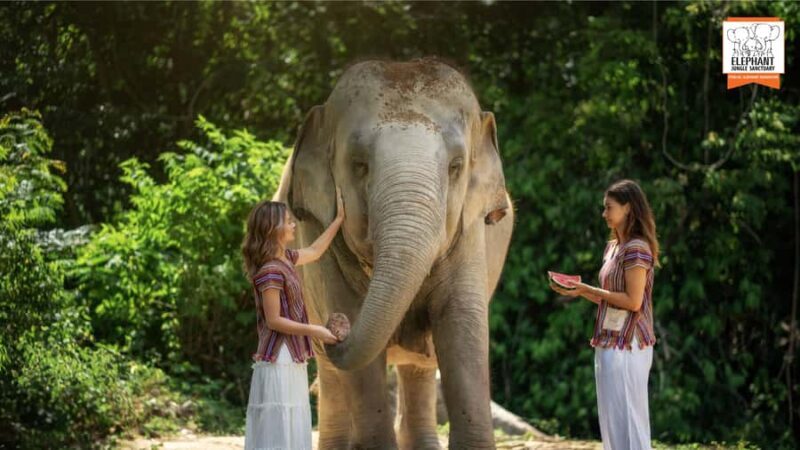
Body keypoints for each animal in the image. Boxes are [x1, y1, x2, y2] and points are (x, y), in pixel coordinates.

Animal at [272, 58, 514, 449]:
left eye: (456, 166)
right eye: (359, 165)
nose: (336, 326)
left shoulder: (471, 230)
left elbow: (461, 325)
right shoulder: (316, 231)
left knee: (420, 366)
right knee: (333, 373)